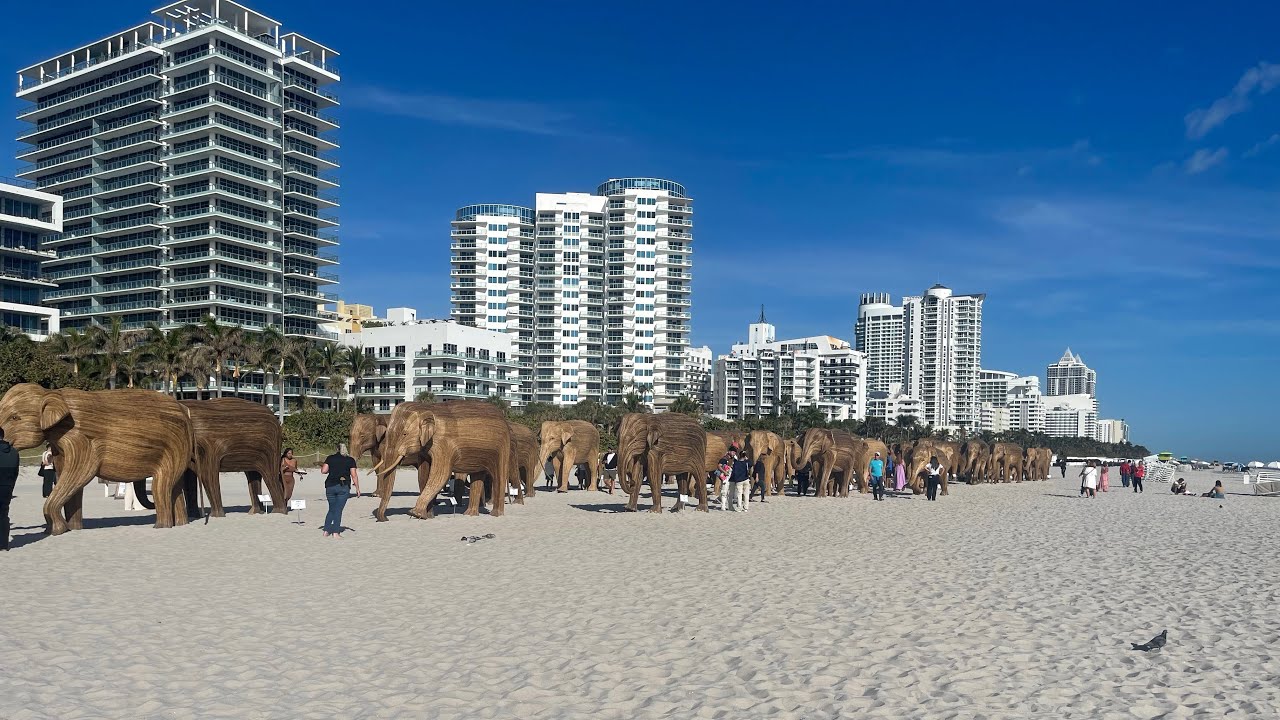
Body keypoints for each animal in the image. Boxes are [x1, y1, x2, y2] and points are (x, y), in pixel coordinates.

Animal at [0, 384, 195, 534]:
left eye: (15, 417)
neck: (52, 392)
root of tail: (184, 411)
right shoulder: (60, 445)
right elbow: (67, 477)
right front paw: (72, 529)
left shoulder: (79, 438)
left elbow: (81, 473)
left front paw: (57, 531)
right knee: (174, 486)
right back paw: (180, 524)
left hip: (174, 446)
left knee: (161, 485)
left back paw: (161, 526)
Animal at [373, 400, 512, 520]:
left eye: (404, 434)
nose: (385, 519)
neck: (427, 408)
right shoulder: (425, 449)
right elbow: (423, 474)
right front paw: (428, 516)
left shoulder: (444, 444)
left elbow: (440, 475)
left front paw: (414, 513)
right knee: (477, 477)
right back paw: (470, 514)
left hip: (502, 448)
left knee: (499, 476)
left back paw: (496, 514)